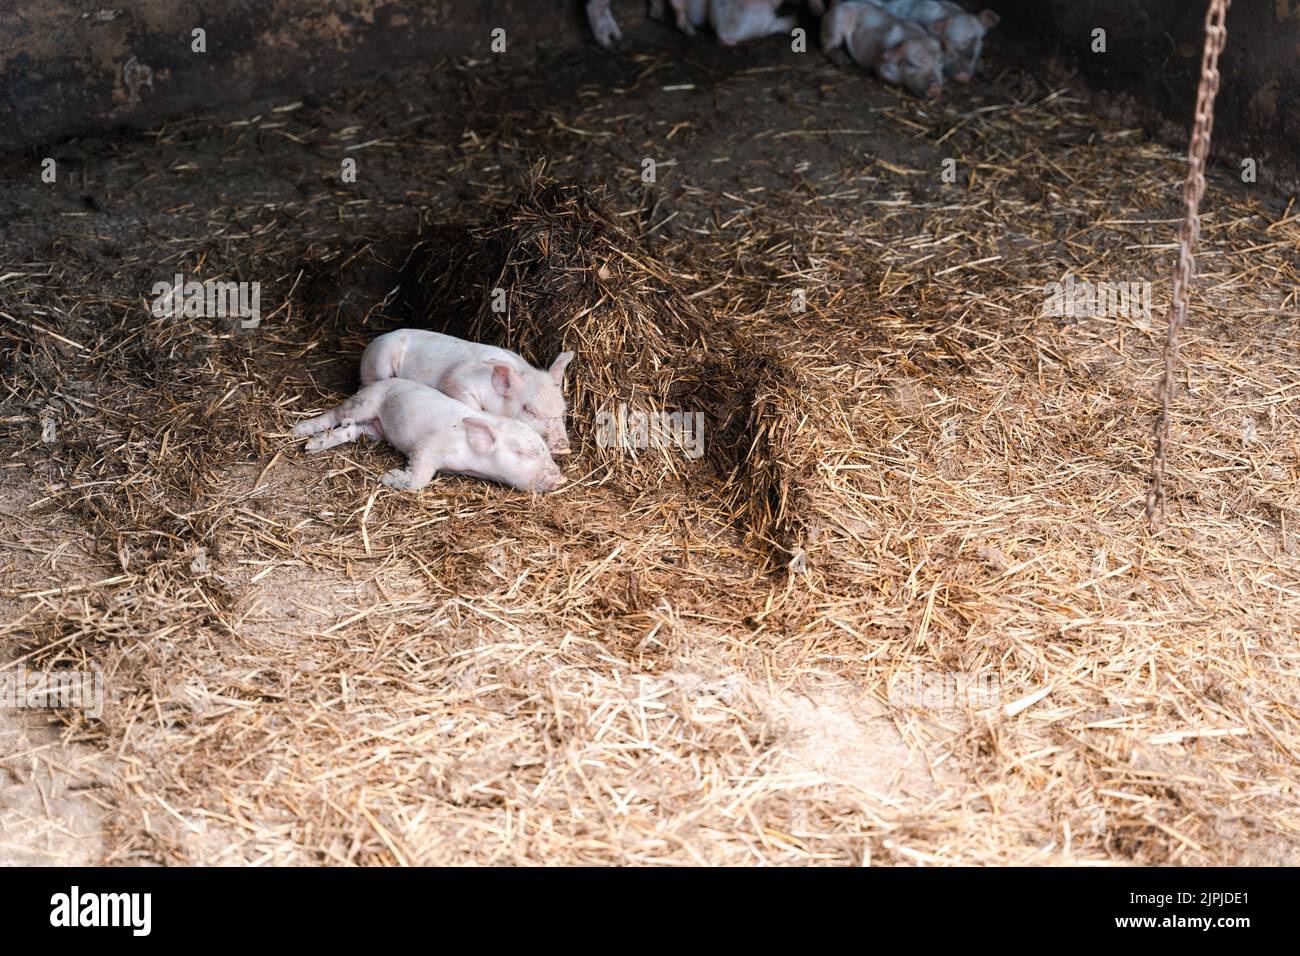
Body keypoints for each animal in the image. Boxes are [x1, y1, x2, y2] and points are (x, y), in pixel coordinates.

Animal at [292, 378, 567, 493]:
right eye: (522, 452)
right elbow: (420, 476)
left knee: (348, 431)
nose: (559, 478)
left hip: (372, 429)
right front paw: (387, 477)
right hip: (364, 402)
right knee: (335, 414)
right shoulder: (429, 446)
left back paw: (313, 446)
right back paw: (300, 435)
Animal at [359, 329, 574, 456]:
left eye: (564, 412)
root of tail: (375, 340)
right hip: (378, 365)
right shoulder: (456, 381)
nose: (563, 448)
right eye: (529, 410)